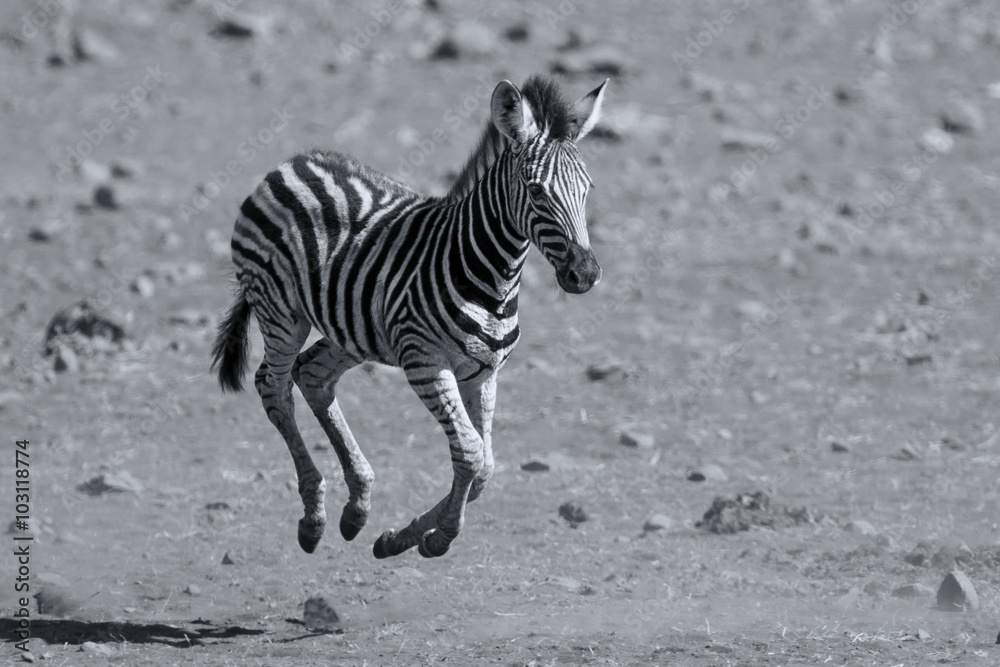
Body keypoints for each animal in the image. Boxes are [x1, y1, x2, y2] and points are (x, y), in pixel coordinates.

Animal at [211, 75, 608, 559]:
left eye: (587, 189)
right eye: (535, 191)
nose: (584, 275)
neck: (490, 277)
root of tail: (291, 164)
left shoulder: (483, 374)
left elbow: (484, 466)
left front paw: (403, 537)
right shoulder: (426, 365)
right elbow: (471, 454)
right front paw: (437, 538)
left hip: (352, 330)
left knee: (312, 376)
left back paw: (356, 508)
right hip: (280, 311)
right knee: (273, 385)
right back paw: (313, 519)